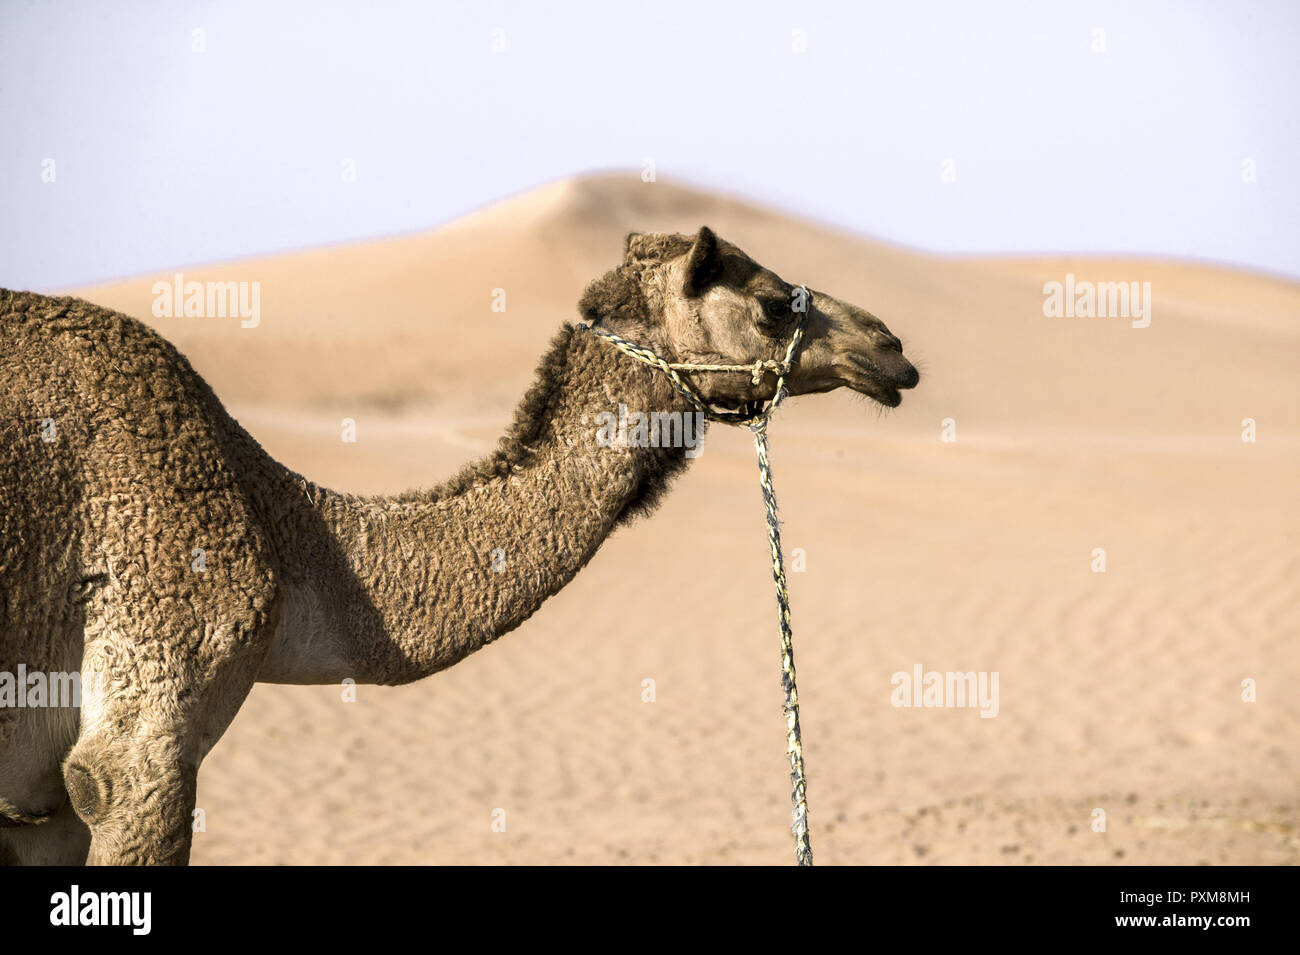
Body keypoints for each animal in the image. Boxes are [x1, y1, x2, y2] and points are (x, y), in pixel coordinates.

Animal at [0, 227, 918, 865]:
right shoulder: (141, 744)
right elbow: (127, 774)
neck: (283, 524)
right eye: (769, 301)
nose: (892, 348)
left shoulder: (41, 804)